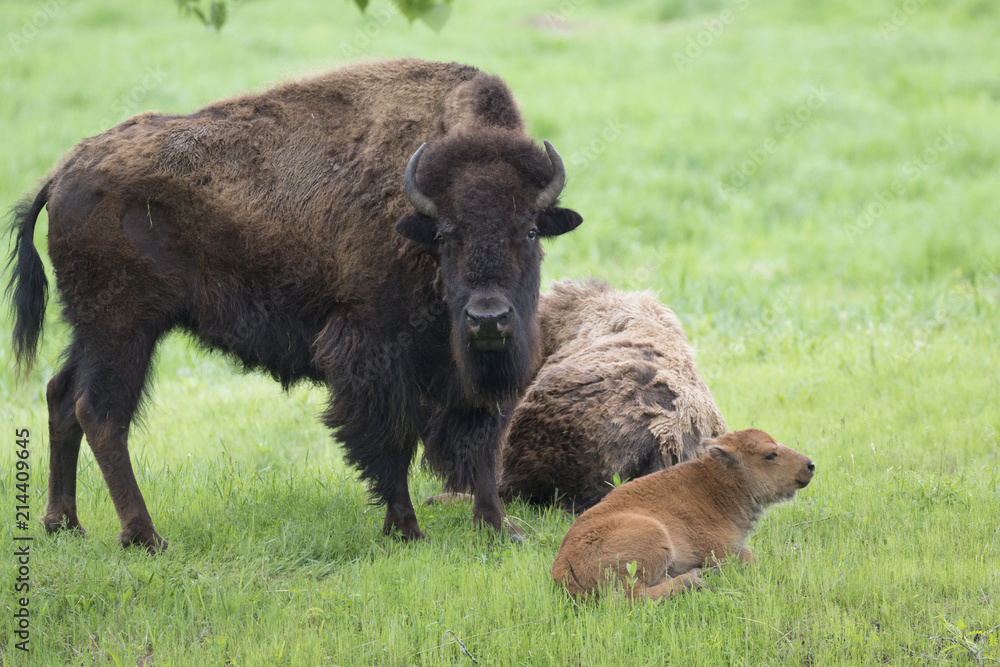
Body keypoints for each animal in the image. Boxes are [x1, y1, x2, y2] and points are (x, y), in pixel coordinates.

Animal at [5, 58, 582, 551]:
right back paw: (145, 537)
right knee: (101, 413)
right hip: (124, 330)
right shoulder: (376, 356)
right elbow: (393, 441)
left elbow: (483, 441)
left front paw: (499, 528)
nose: (488, 319)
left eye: (530, 230)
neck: (413, 215)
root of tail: (62, 173)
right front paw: (406, 530)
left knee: (62, 396)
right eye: (444, 234)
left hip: (91, 329)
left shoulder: (474, 372)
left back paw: (63, 523)